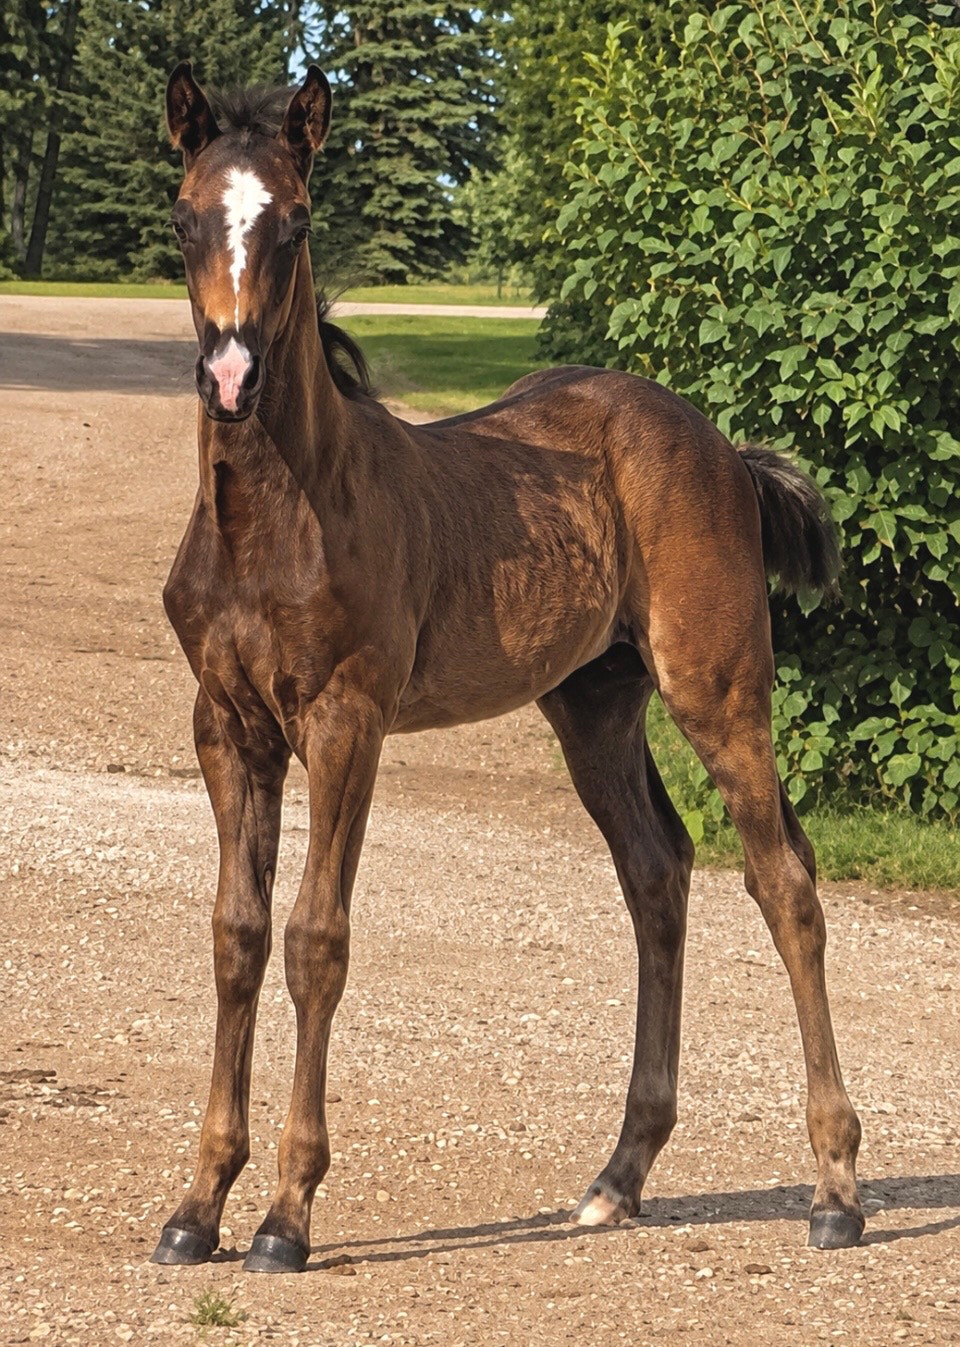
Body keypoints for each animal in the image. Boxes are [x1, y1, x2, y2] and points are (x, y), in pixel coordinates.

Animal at [150, 62, 863, 1274]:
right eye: (189, 217)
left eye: (296, 222)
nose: (232, 373)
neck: (272, 519)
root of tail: (719, 445)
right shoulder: (227, 726)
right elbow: (235, 936)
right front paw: (197, 1205)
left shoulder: (347, 720)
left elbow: (315, 938)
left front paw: (287, 1216)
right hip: (594, 704)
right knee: (657, 871)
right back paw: (619, 1178)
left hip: (717, 689)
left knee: (785, 885)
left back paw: (837, 1188)